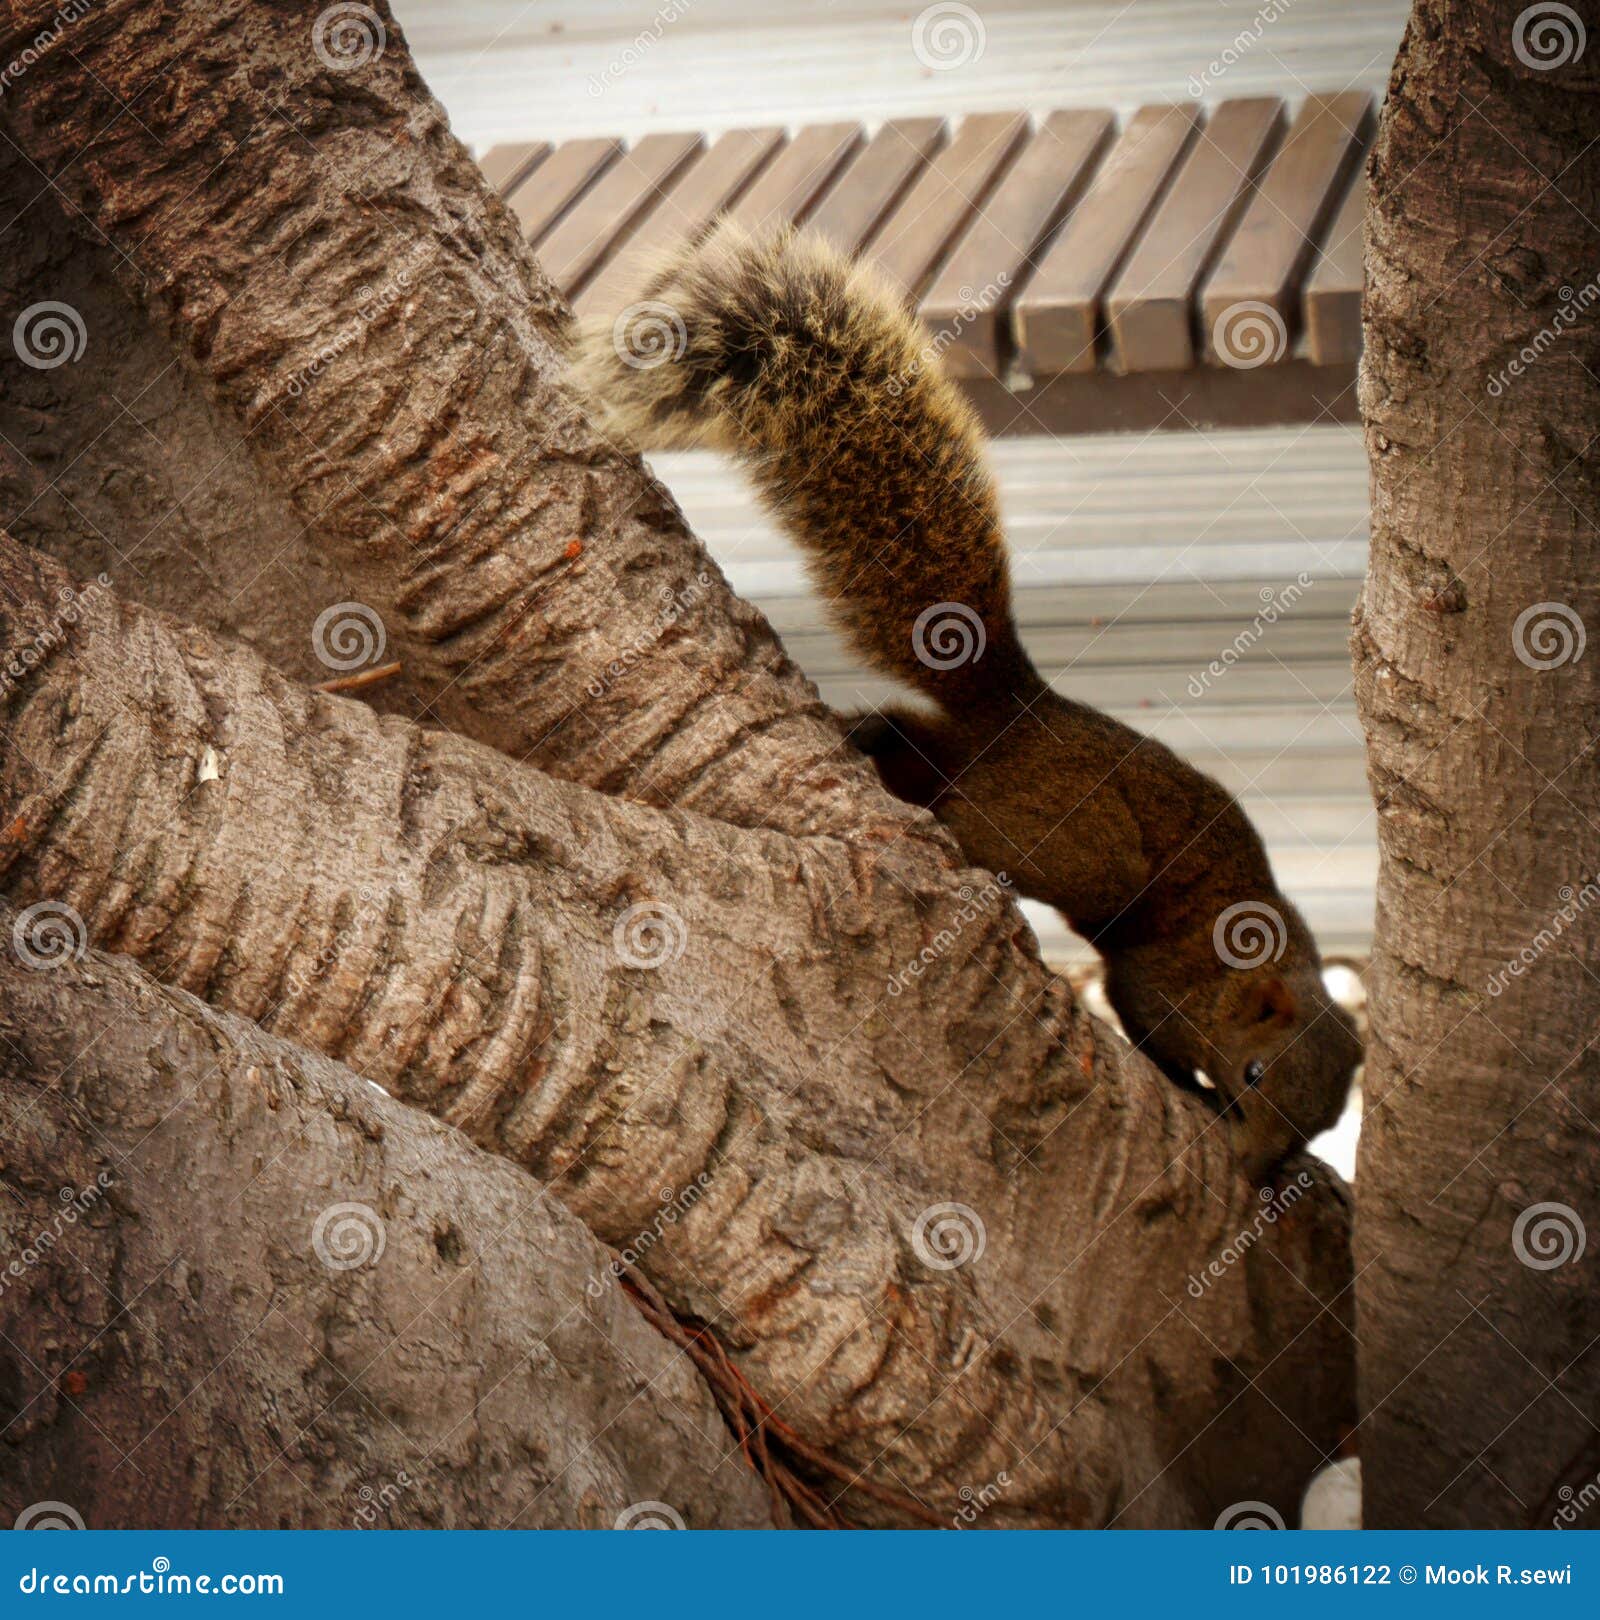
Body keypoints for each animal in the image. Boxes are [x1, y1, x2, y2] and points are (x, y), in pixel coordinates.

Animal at [577, 221, 1361, 1178]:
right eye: (1252, 1074)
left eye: (1318, 1127)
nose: (1258, 1170)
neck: (1243, 973)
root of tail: (1026, 709)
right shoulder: (1164, 979)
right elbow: (1142, 1016)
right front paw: (1193, 1090)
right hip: (1080, 843)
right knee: (970, 818)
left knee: (919, 745)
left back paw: (867, 734)